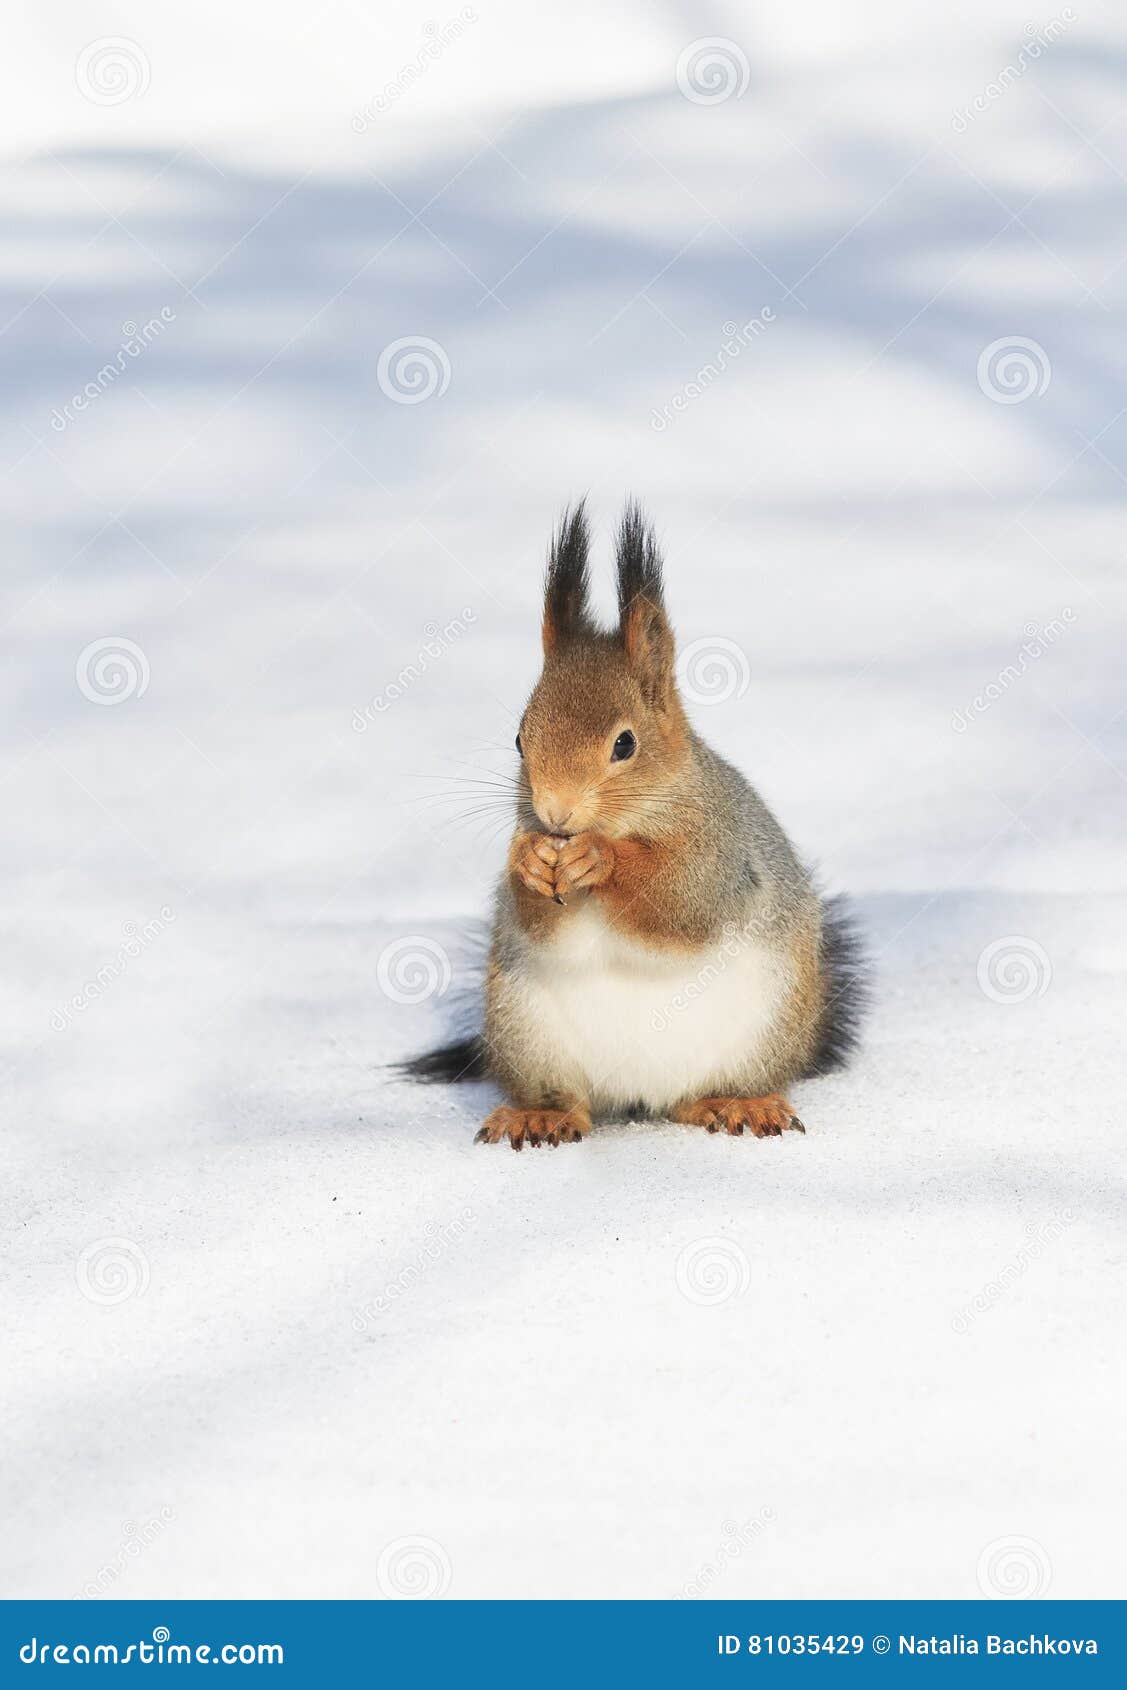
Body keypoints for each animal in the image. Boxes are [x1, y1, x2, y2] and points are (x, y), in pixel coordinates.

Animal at [404, 501, 865, 1149]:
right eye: (519, 739)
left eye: (625, 744)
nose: (556, 812)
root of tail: (640, 1095)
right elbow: (537, 925)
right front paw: (531, 862)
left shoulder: (721, 857)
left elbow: (678, 904)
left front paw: (599, 858)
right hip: (528, 1031)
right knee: (572, 1101)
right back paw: (541, 1115)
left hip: (762, 1030)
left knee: (704, 1093)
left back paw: (737, 1103)